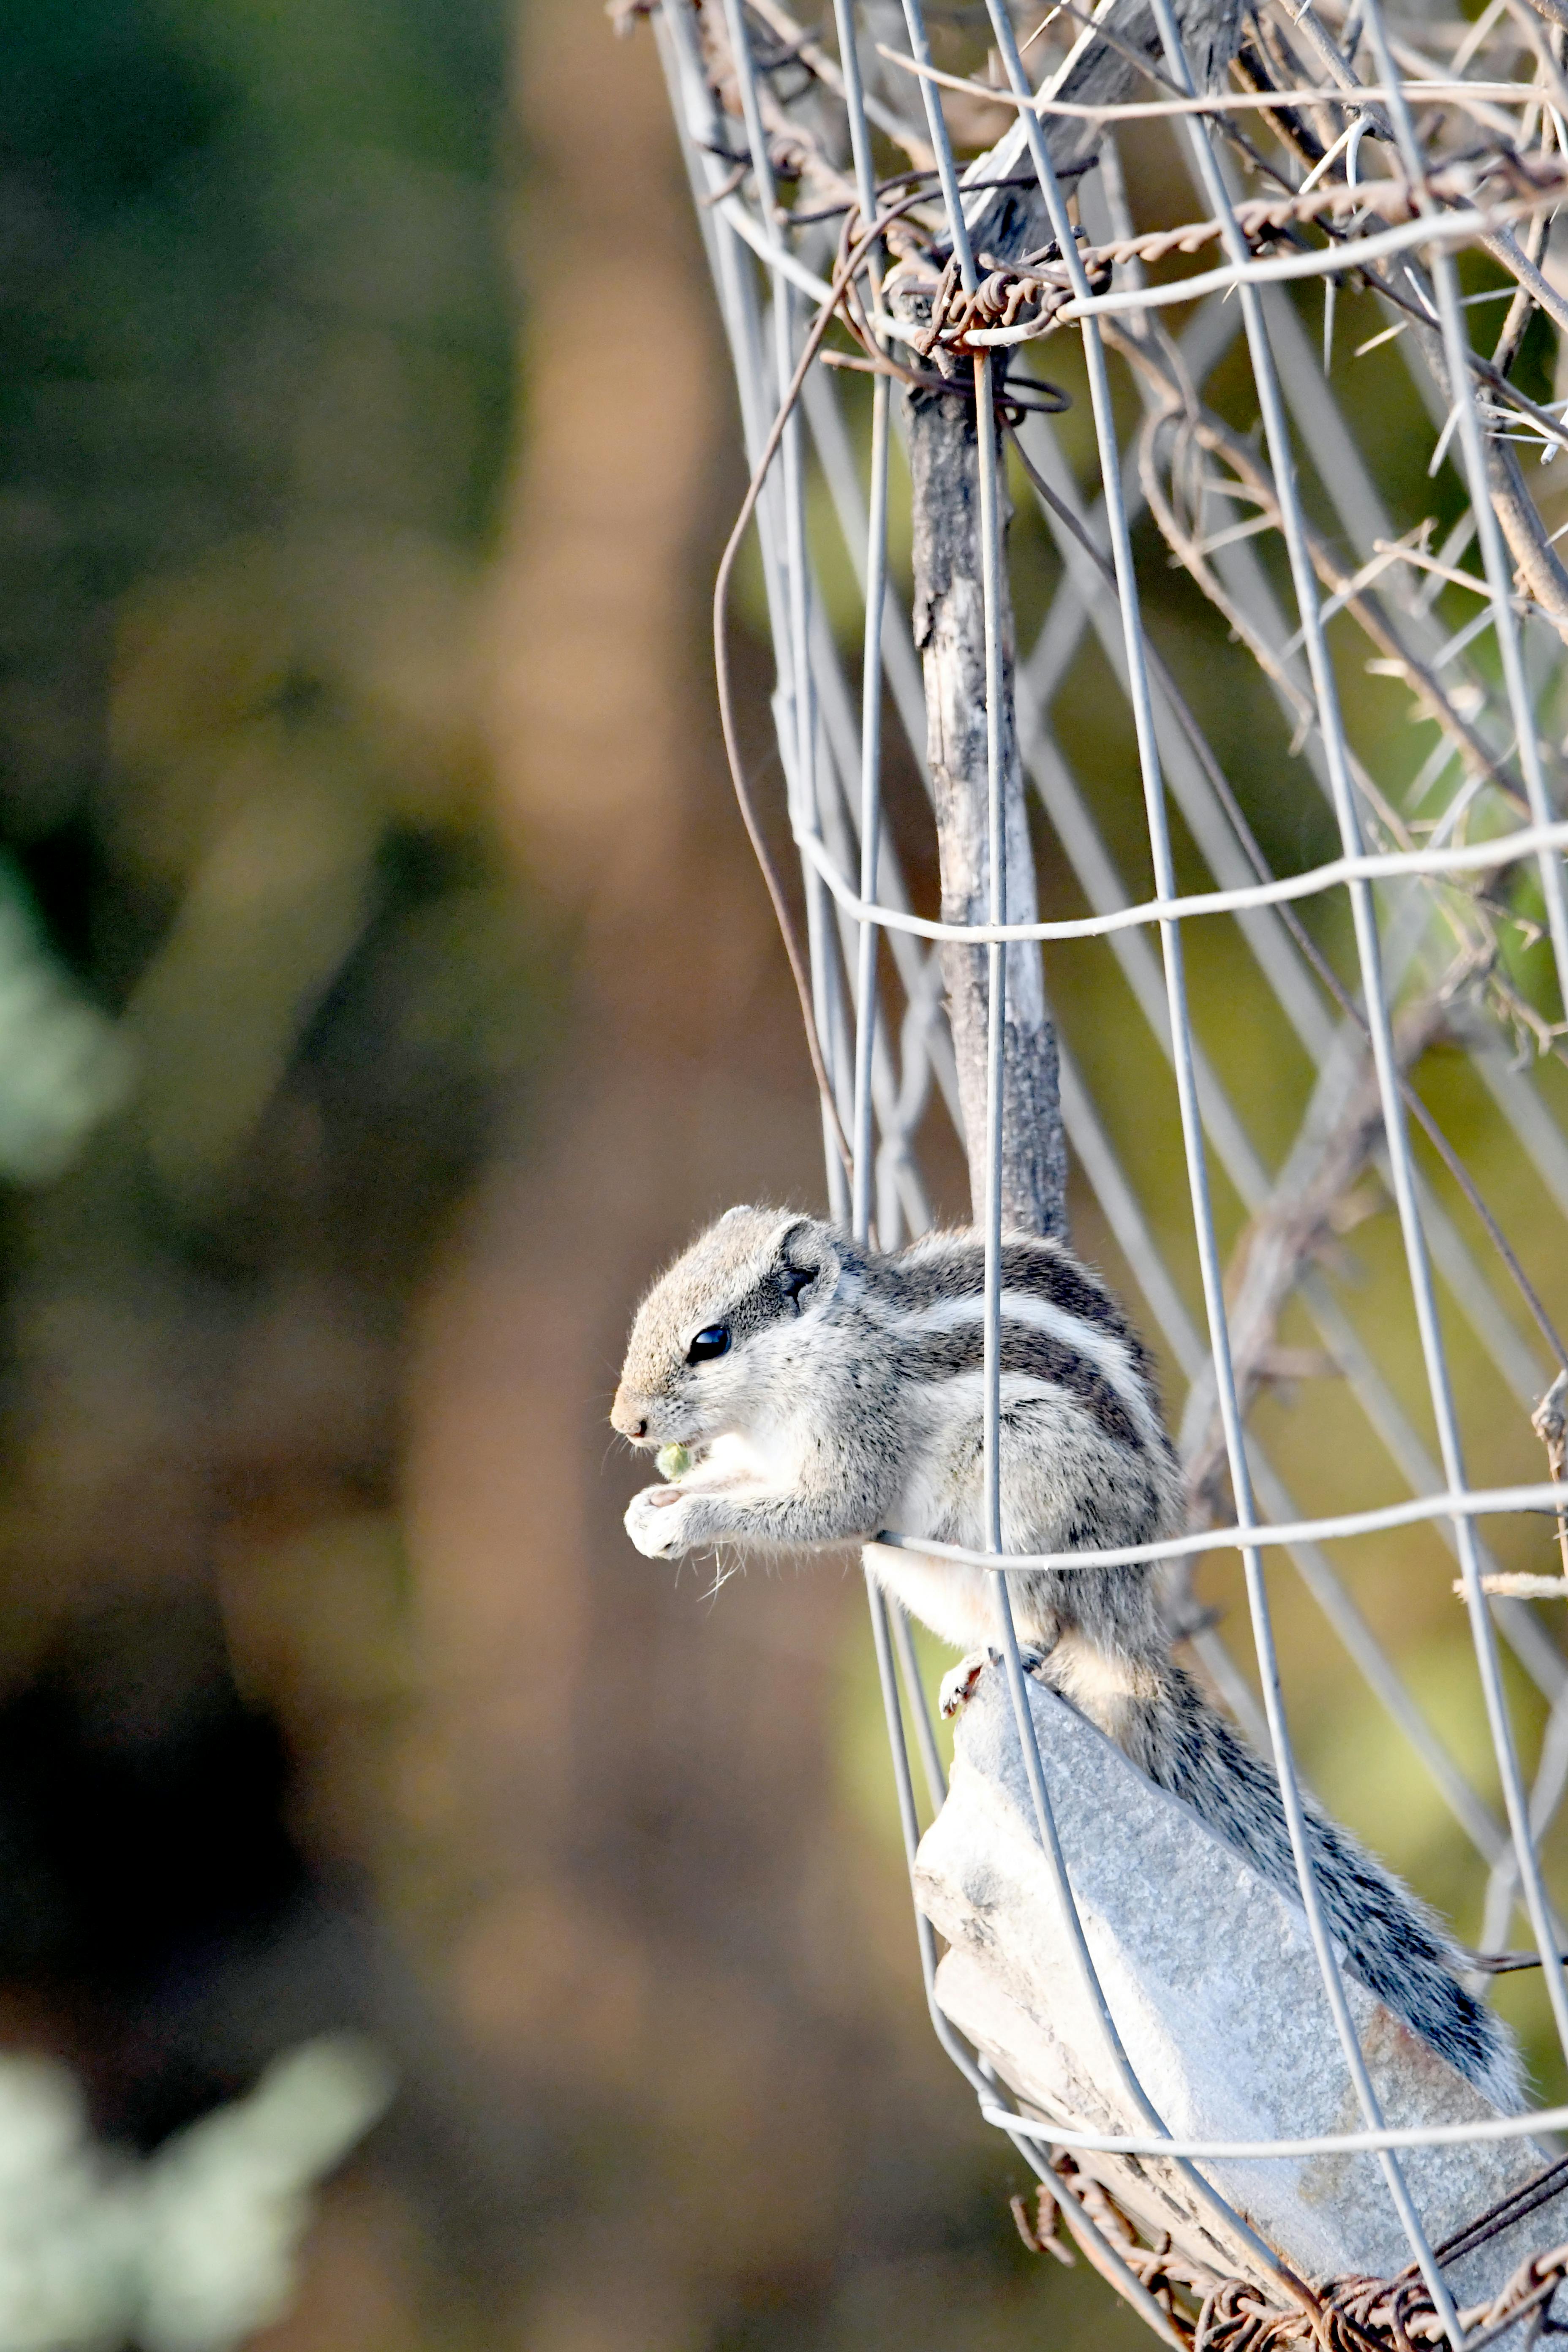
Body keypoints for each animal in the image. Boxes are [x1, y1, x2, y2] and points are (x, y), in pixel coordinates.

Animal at [611, 1203, 1521, 2111]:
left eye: (709, 1341)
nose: (627, 1423)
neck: (819, 1348)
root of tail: (1129, 1616)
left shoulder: (853, 1437)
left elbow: (827, 1508)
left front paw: (683, 1520)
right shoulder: (758, 1455)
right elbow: (732, 1479)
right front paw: (651, 1505)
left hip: (1028, 1490)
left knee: (1049, 1620)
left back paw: (998, 1658)